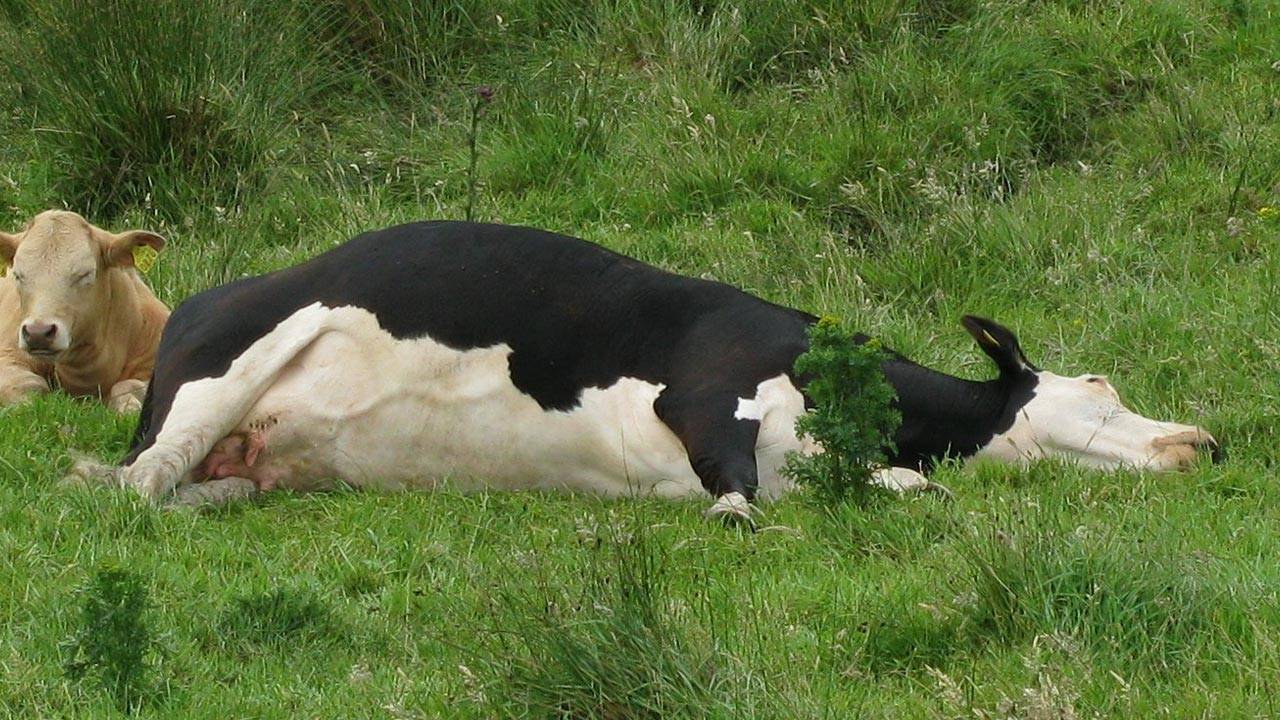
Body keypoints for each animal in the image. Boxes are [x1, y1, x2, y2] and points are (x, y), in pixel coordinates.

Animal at [94, 221, 1216, 516]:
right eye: (1100, 385)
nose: (1203, 442)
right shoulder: (707, 384)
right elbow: (730, 473)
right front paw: (732, 515)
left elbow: (899, 487)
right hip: (222, 374)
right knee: (132, 486)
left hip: (252, 458)